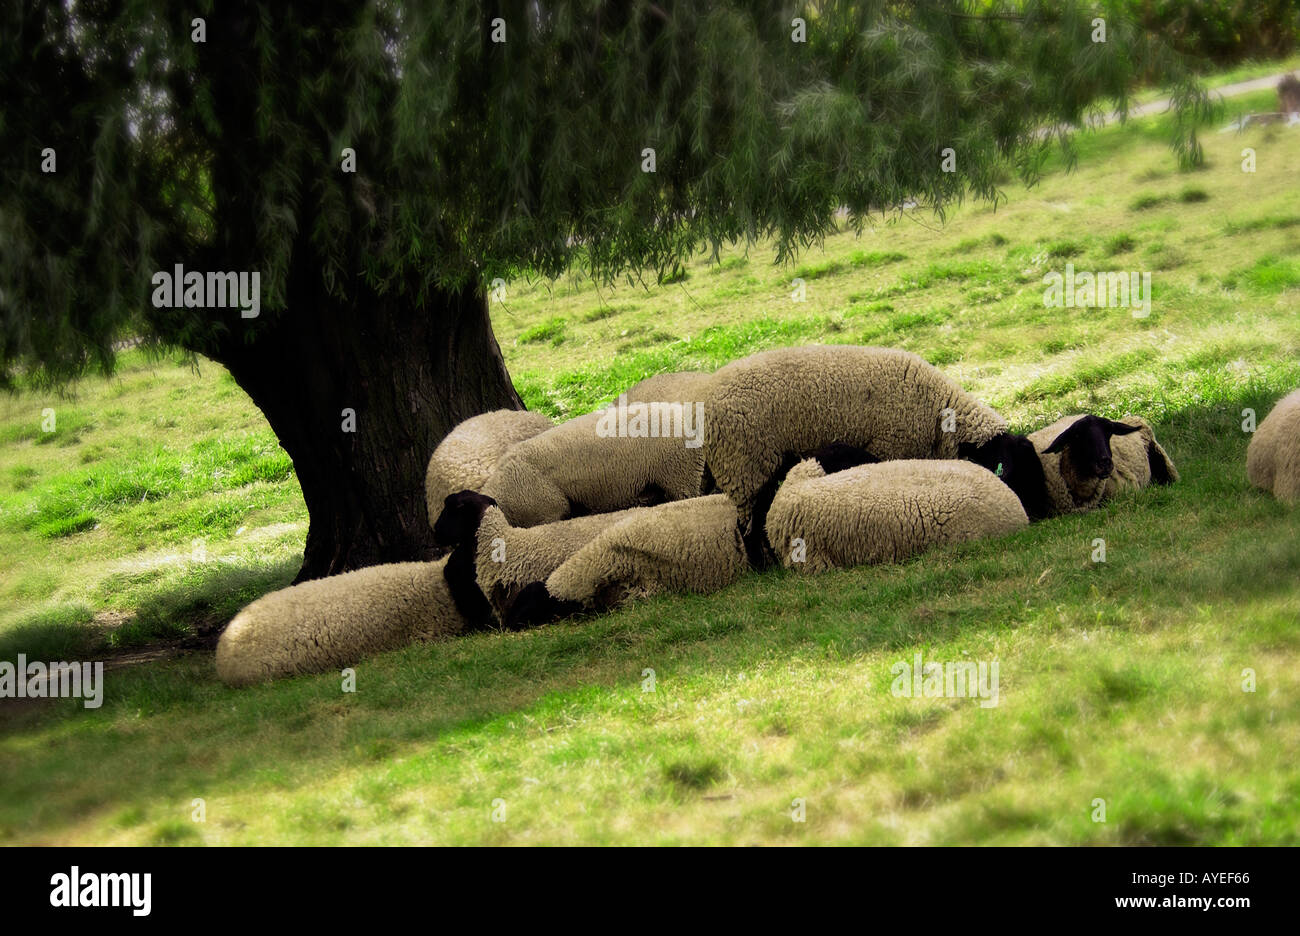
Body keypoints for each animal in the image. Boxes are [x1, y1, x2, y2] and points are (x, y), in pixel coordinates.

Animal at [698, 345, 1040, 553]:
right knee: (748, 528)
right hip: (745, 466)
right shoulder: (892, 445)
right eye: (1012, 471)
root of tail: (705, 404)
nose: (1038, 517)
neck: (940, 414)